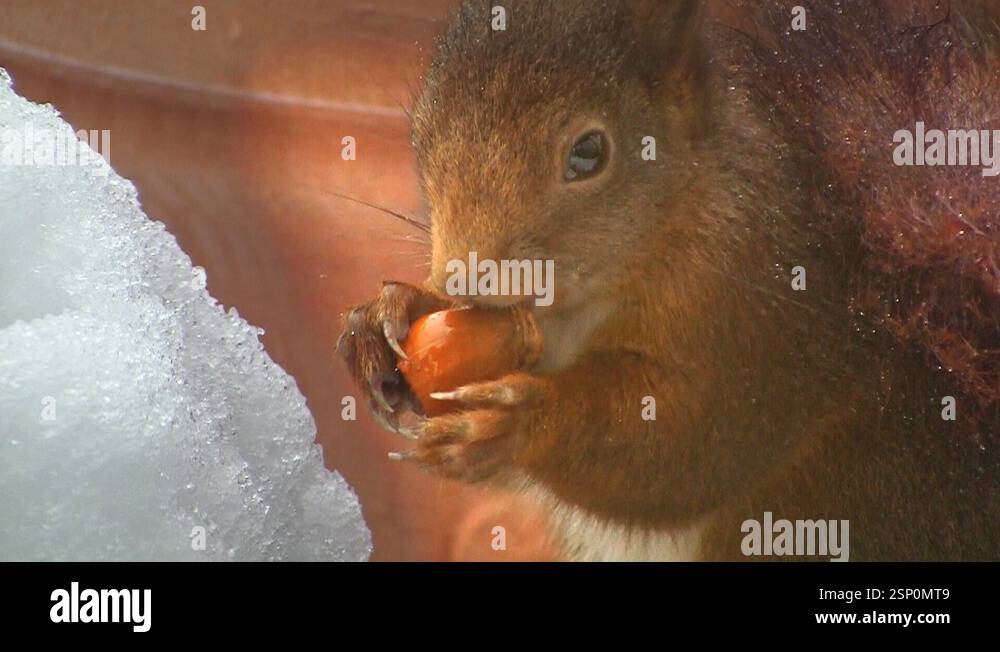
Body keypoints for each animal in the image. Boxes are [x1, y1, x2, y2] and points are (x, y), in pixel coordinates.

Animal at [338, 0, 999, 561]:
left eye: (589, 153)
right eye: (421, 135)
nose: (465, 278)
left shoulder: (766, 320)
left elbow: (689, 448)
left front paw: (517, 422)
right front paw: (386, 316)